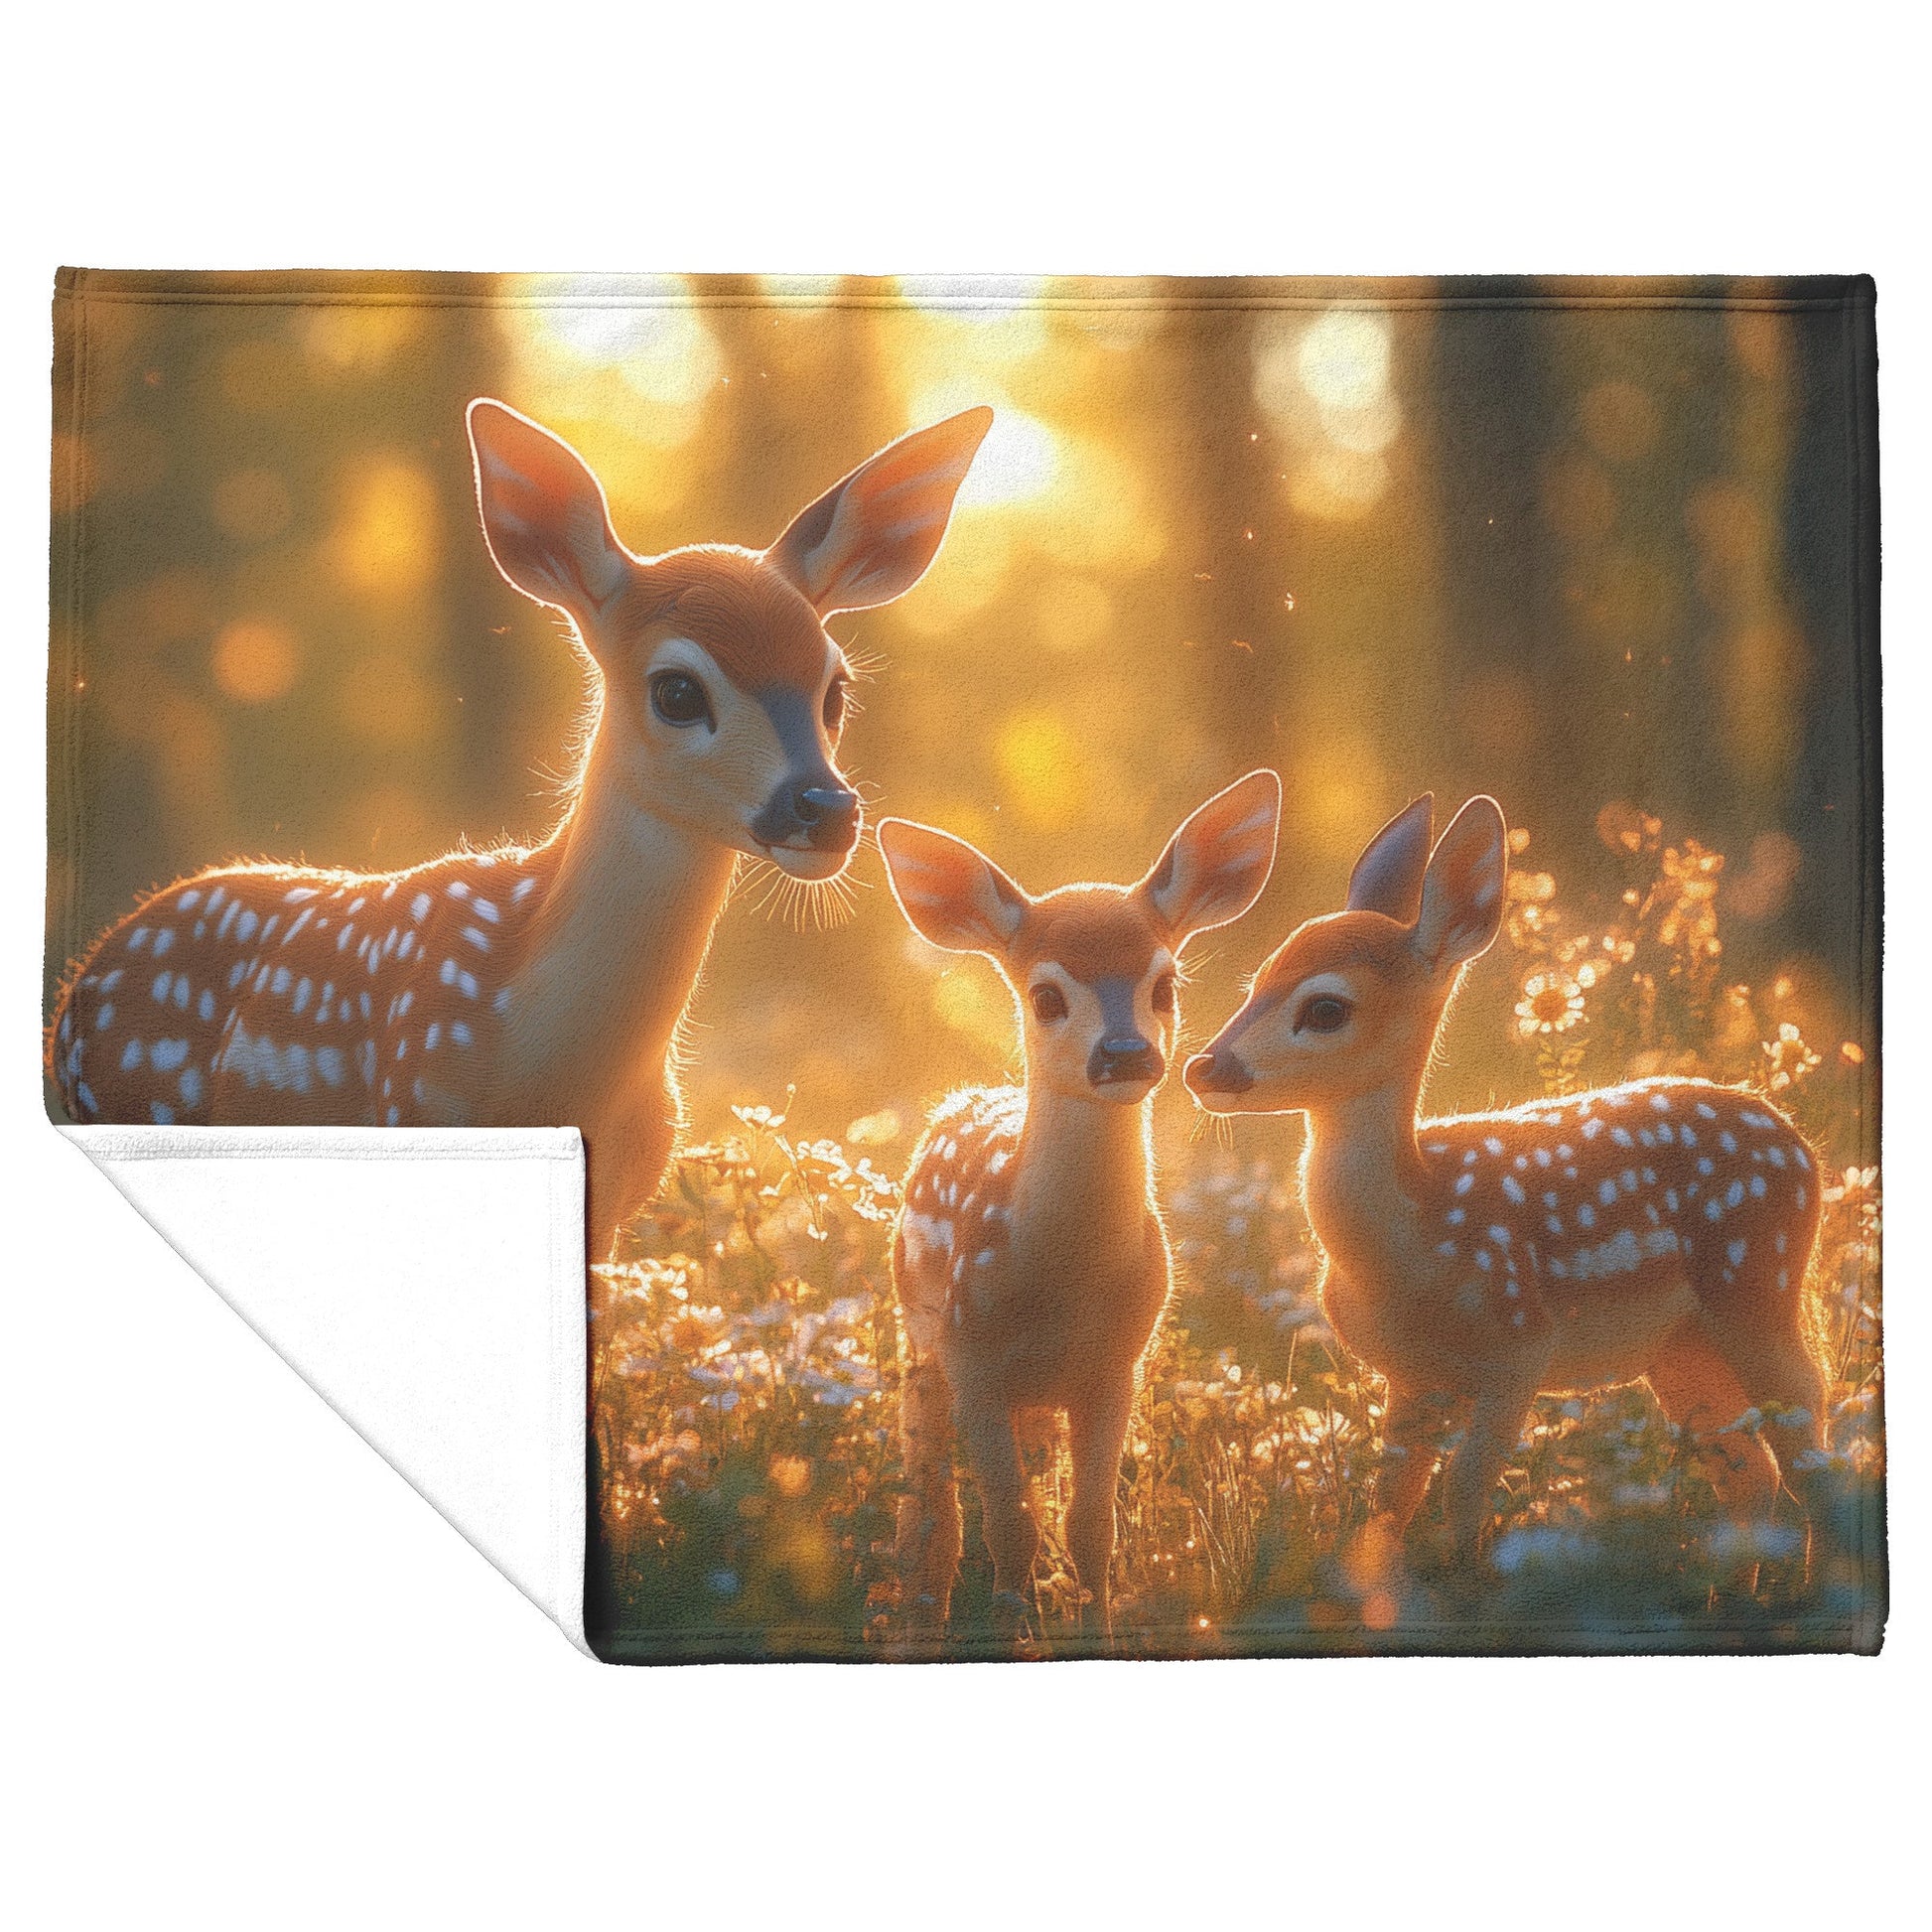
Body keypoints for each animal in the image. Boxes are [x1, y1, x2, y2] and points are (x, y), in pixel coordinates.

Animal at [48, 396, 993, 1258]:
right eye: (676, 690)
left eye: (835, 688)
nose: (825, 810)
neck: (546, 1066)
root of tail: (75, 993)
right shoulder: (416, 1103)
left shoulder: (619, 1197)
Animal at [877, 770, 1282, 1647]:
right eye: (1046, 995)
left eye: (1165, 983)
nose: (1125, 1054)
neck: (1063, 1280)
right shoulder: (972, 1357)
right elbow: (1009, 1528)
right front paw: (1005, 1637)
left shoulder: (1113, 1366)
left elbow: (1090, 1527)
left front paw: (1093, 1634)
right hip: (918, 1345)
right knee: (928, 1520)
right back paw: (922, 1629)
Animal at [1183, 793, 1828, 1571]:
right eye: (1259, 979)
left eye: (1326, 1008)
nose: (1205, 1068)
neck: (1414, 1235)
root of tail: (1800, 1144)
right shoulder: (1411, 1376)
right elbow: (1388, 1507)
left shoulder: (1519, 1344)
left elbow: (1463, 1495)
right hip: (1681, 1347)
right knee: (1751, 1478)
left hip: (1758, 1290)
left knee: (1813, 1441)